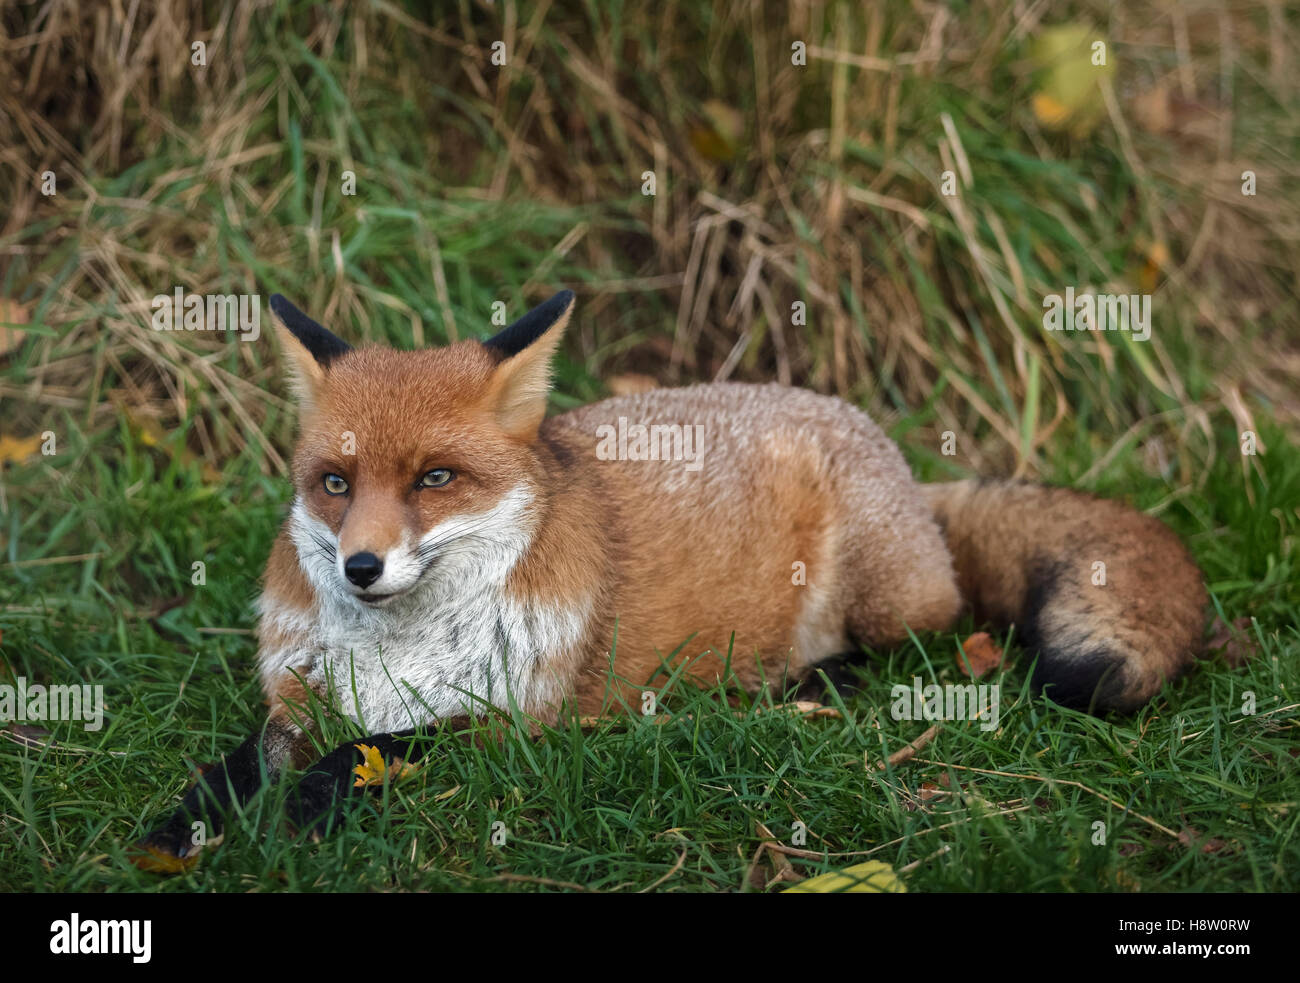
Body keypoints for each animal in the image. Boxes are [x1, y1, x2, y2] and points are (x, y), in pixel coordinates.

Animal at [136, 288, 1207, 864]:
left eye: (434, 479)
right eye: (335, 483)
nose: (361, 566)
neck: (400, 654)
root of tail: (889, 450)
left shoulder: (518, 726)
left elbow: (366, 752)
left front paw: (292, 819)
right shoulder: (299, 699)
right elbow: (242, 761)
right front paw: (186, 823)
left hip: (884, 596)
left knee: (917, 641)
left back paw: (805, 680)